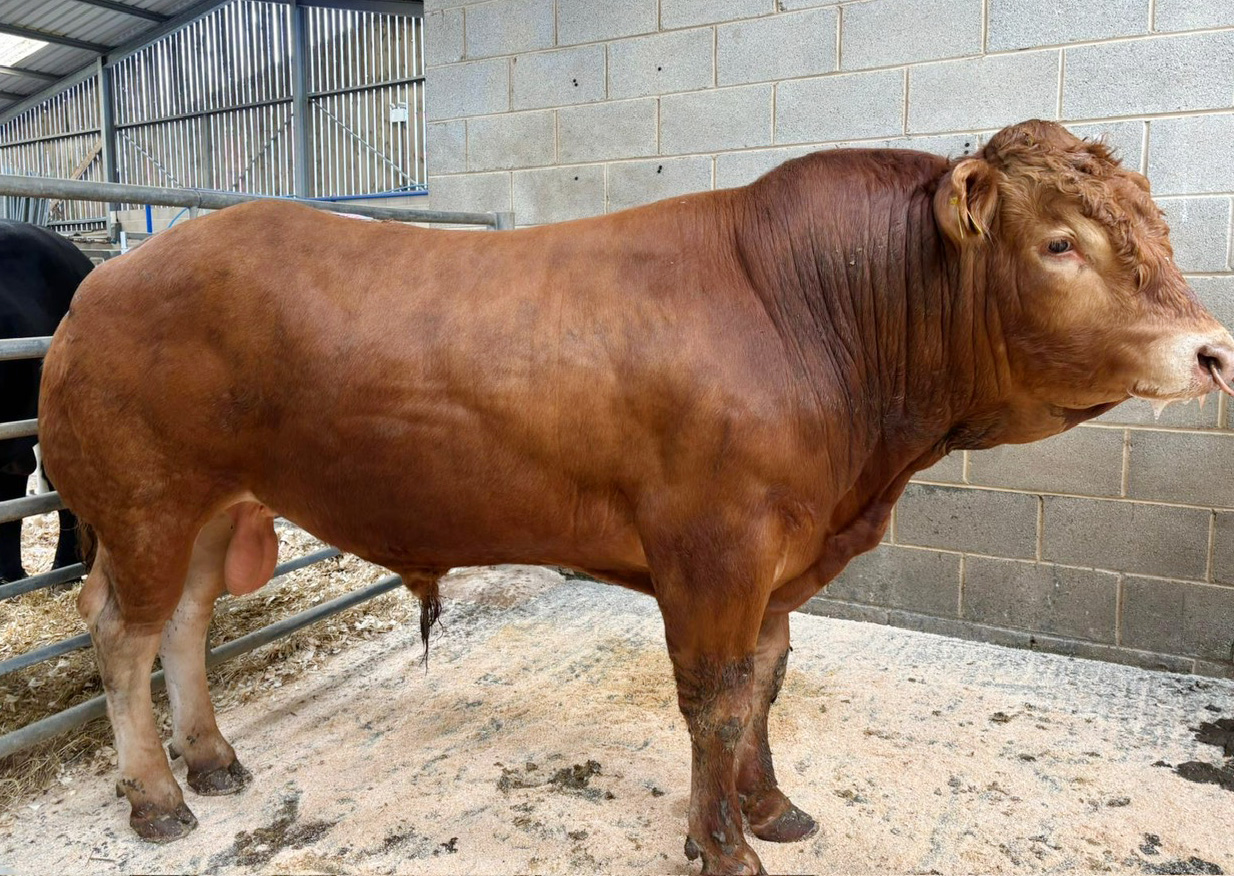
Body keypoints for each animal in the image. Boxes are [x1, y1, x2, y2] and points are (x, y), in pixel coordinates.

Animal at [38, 120, 1234, 875]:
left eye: (1160, 230)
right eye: (1061, 242)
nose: (1212, 350)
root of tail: (113, 272)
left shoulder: (779, 562)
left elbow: (765, 682)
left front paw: (770, 808)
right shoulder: (715, 551)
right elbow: (715, 699)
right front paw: (722, 846)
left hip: (211, 508)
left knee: (186, 623)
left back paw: (212, 758)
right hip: (146, 500)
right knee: (122, 632)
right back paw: (157, 798)